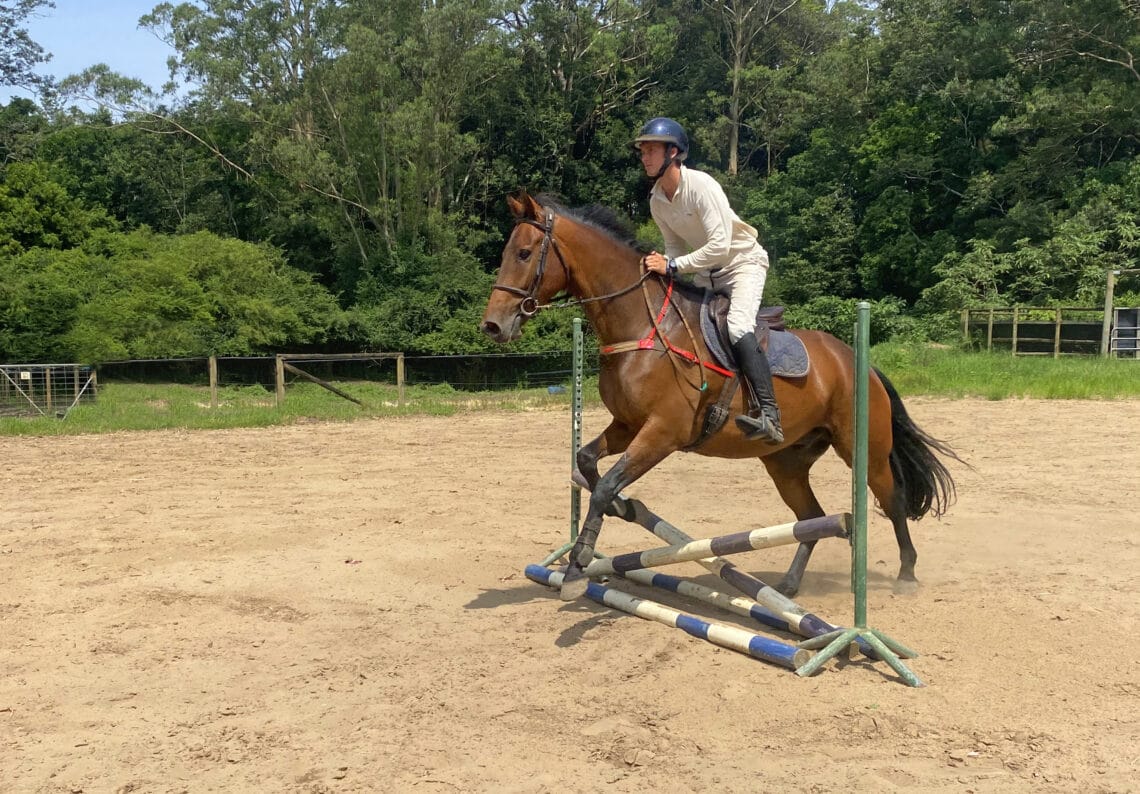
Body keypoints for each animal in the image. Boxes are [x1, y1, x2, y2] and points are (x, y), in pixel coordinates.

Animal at [481, 191, 959, 601]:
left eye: (524, 253)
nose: (493, 326)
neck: (641, 325)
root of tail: (858, 361)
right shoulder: (628, 426)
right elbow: (587, 463)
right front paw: (626, 508)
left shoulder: (662, 432)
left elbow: (605, 485)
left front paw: (578, 567)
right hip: (786, 462)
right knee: (810, 518)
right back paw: (789, 585)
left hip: (863, 449)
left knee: (891, 500)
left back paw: (906, 574)